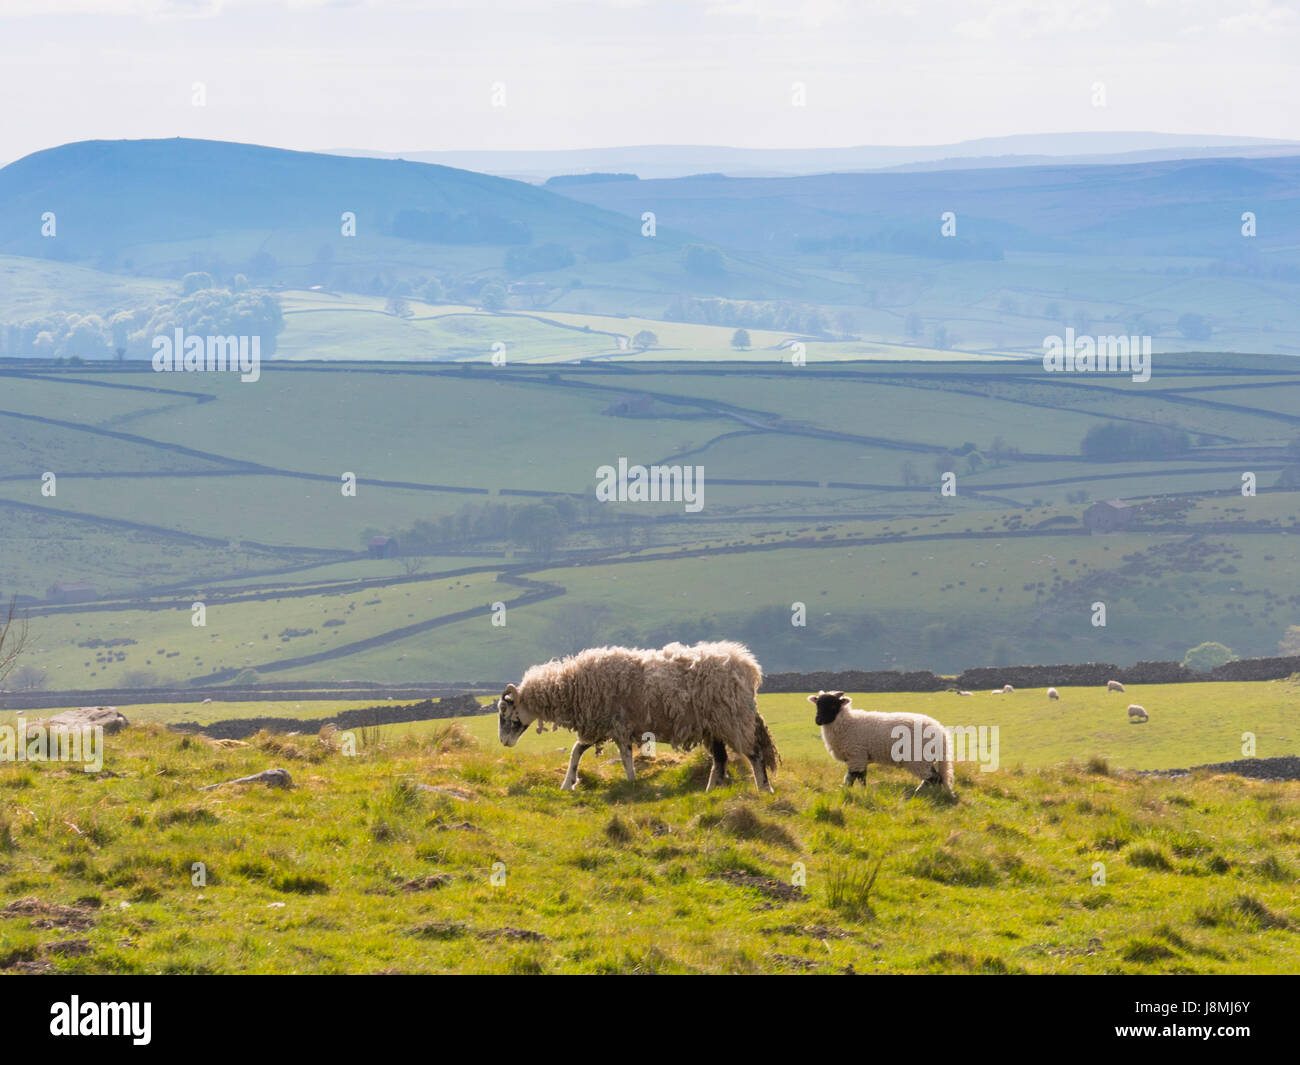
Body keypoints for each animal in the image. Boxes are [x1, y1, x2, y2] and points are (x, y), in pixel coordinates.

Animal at [496, 641, 779, 792]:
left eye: (505, 713)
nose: (504, 743)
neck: (571, 686)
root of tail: (748, 667)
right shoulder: (599, 726)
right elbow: (577, 751)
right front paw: (568, 783)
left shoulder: (618, 725)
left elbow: (624, 757)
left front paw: (632, 782)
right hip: (714, 727)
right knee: (720, 760)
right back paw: (710, 792)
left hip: (733, 720)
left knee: (754, 754)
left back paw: (764, 788)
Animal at [808, 690, 954, 797]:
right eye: (818, 704)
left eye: (833, 705)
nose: (818, 720)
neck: (846, 723)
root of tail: (942, 733)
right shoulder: (860, 758)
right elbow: (860, 777)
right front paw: (860, 791)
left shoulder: (857, 755)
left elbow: (852, 778)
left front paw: (849, 791)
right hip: (926, 758)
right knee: (936, 777)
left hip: (918, 758)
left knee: (934, 778)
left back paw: (920, 793)